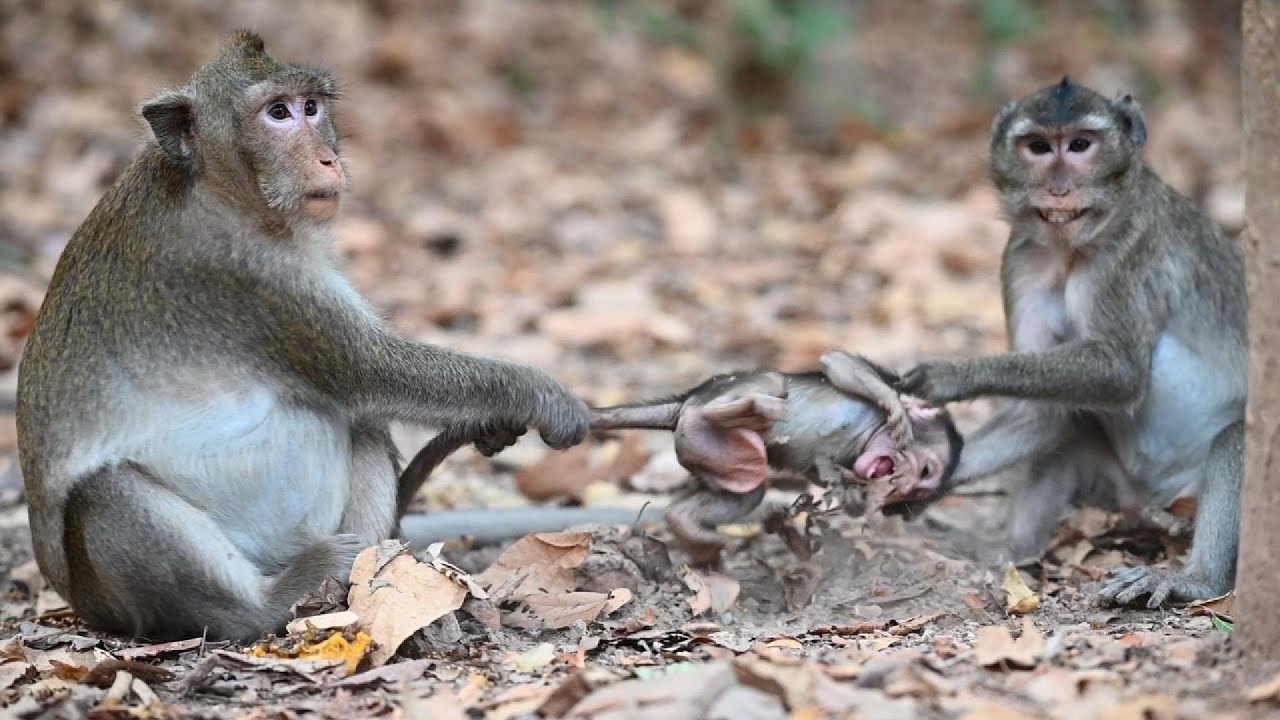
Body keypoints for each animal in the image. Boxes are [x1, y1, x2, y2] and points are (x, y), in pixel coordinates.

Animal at [15, 31, 591, 643]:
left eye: (311, 107)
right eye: (277, 114)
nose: (328, 158)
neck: (218, 188)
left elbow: (367, 394)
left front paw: (493, 425)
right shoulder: (246, 278)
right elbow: (369, 369)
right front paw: (537, 394)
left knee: (364, 426)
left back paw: (368, 577)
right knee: (106, 496)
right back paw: (268, 604)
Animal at [584, 350, 963, 562]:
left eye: (918, 489)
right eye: (925, 470)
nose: (904, 483)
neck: (868, 437)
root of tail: (684, 405)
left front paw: (855, 498)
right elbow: (839, 363)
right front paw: (894, 405)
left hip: (713, 453)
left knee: (746, 493)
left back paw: (693, 532)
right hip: (722, 399)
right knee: (770, 382)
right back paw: (753, 407)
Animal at [891, 78, 1246, 608]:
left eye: (1080, 145)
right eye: (1039, 147)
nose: (1059, 187)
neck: (1069, 250)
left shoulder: (1131, 250)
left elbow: (1120, 371)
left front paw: (953, 376)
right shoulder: (1021, 259)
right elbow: (1040, 413)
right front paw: (920, 472)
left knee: (1233, 439)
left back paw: (1196, 578)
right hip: (1122, 491)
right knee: (1069, 424)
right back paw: (1013, 555)